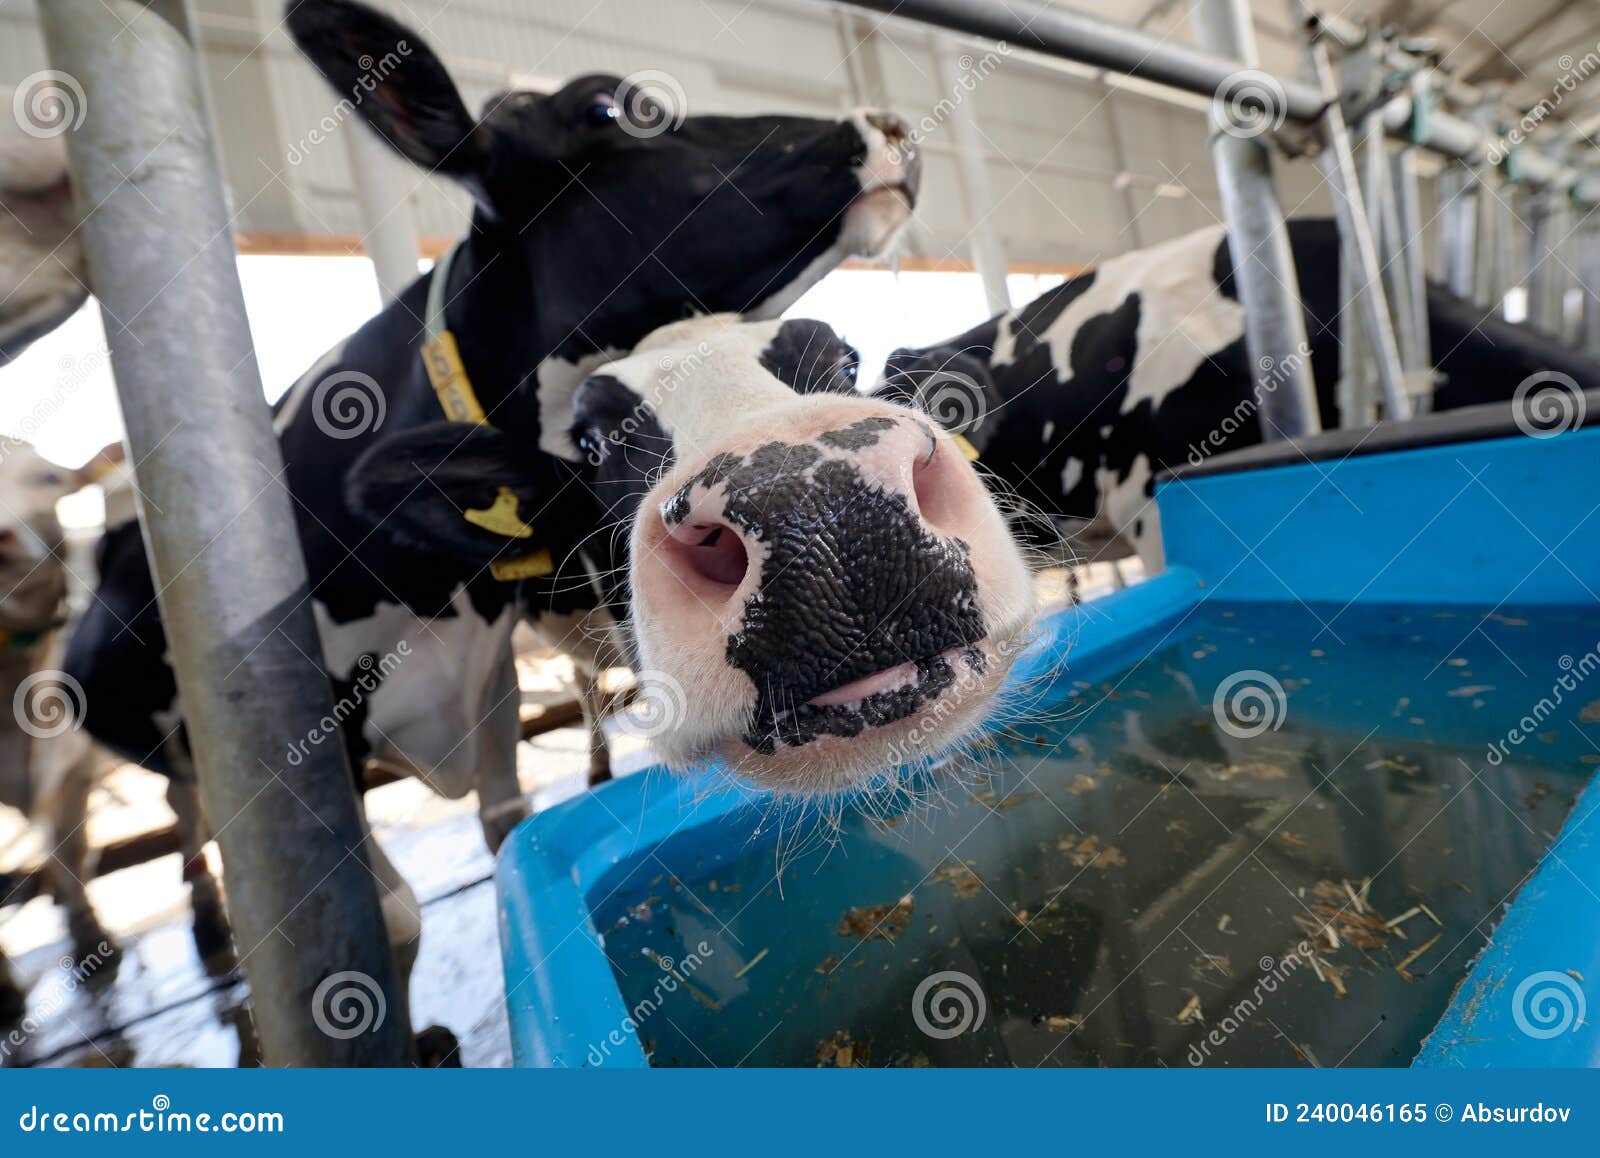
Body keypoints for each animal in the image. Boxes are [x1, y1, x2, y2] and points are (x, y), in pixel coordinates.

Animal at [59, 0, 920, 1050]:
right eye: (612, 106)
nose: (885, 125)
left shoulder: (487, 675)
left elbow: (508, 826)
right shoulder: (295, 741)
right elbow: (389, 921)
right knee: (185, 814)